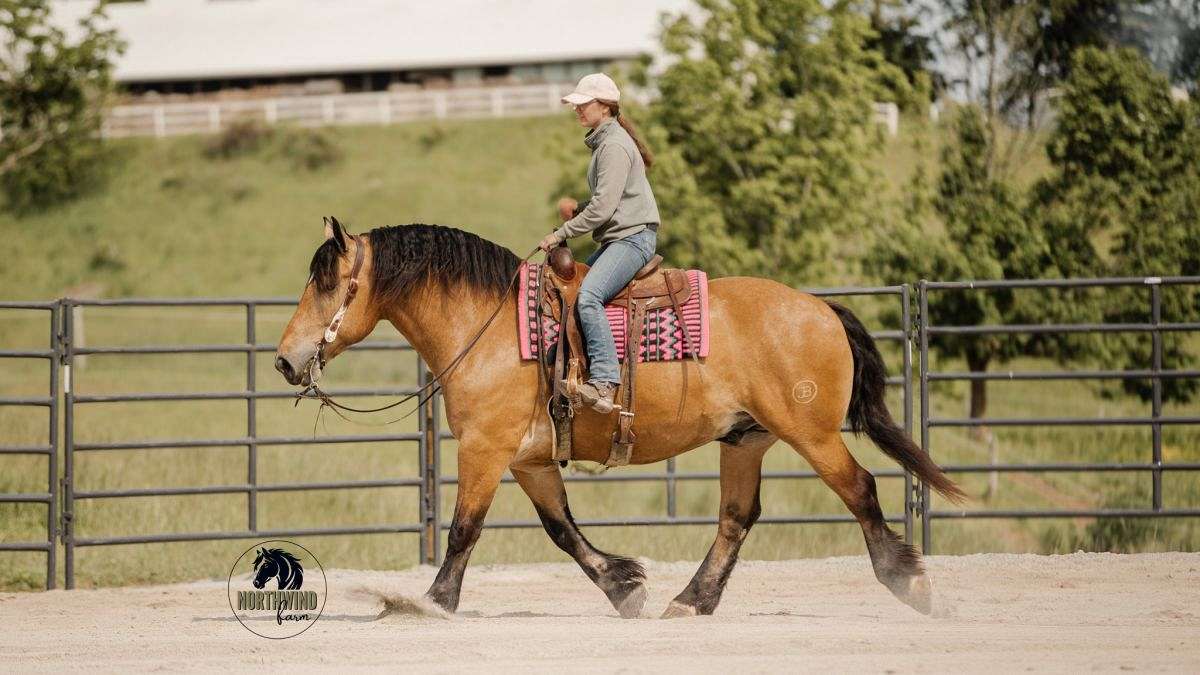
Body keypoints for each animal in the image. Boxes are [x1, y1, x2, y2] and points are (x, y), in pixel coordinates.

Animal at [274, 219, 965, 619]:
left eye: (328, 283)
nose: (285, 359)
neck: (491, 327)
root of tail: (821, 308)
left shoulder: (485, 450)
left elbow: (464, 529)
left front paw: (434, 603)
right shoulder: (528, 460)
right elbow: (561, 530)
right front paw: (624, 586)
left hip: (812, 435)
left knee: (860, 489)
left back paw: (911, 585)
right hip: (745, 440)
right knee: (736, 518)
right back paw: (692, 601)